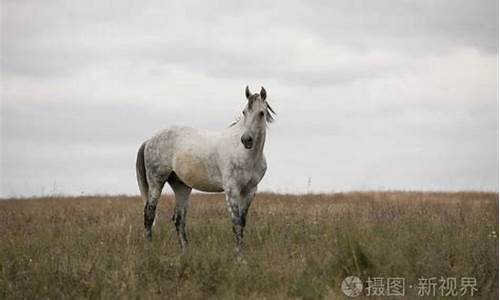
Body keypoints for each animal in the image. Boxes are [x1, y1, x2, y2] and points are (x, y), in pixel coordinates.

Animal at [135, 86, 276, 255]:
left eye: (261, 113)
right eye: (244, 112)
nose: (246, 140)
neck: (246, 154)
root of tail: (149, 140)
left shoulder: (250, 190)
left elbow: (242, 222)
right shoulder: (231, 189)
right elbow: (236, 223)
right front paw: (237, 255)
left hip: (181, 187)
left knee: (179, 219)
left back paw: (185, 251)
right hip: (156, 181)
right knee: (149, 213)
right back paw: (149, 248)